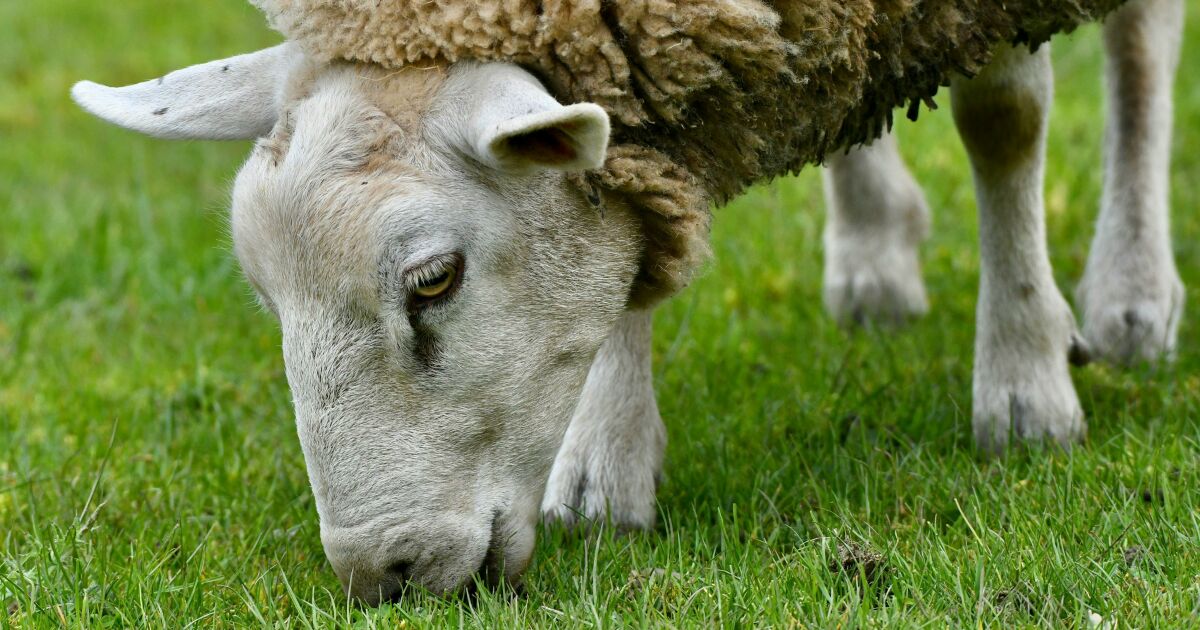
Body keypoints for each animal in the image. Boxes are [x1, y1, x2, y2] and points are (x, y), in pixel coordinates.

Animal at [72, 0, 1130, 602]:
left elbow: (1005, 116)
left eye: (433, 279)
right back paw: (875, 251)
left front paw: (1025, 384)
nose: (383, 577)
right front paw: (605, 465)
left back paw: (1131, 299)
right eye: (265, 297)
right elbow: (623, 223)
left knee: (1141, 50)